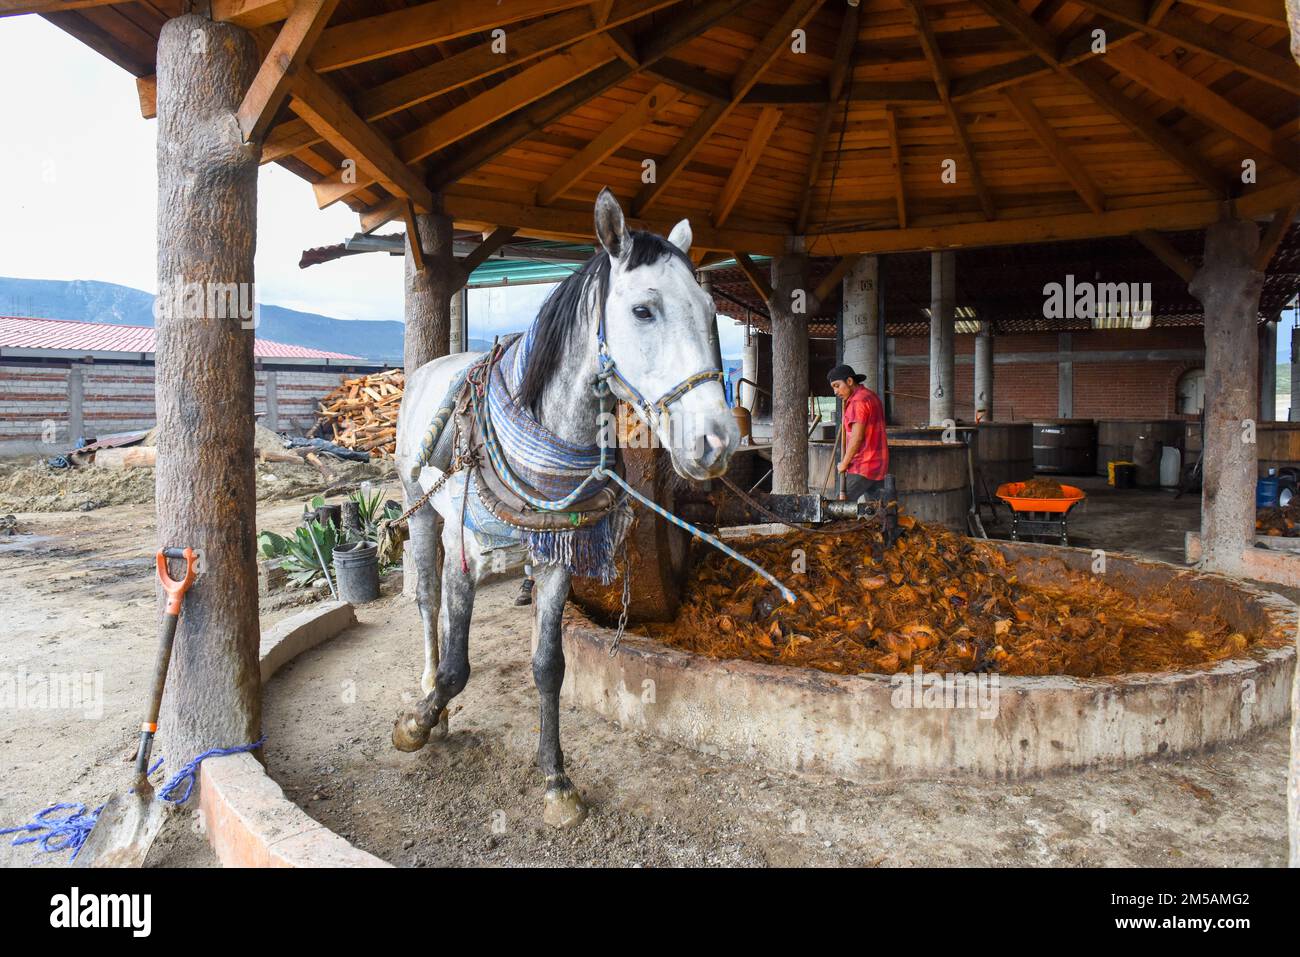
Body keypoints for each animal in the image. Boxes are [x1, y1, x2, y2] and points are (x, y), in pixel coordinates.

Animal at [389, 189, 739, 828]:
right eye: (644, 310)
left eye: (709, 312)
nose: (717, 443)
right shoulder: (467, 548)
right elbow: (456, 665)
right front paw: (418, 722)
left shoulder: (557, 555)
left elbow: (549, 665)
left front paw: (555, 779)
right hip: (421, 507)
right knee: (427, 601)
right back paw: (428, 692)